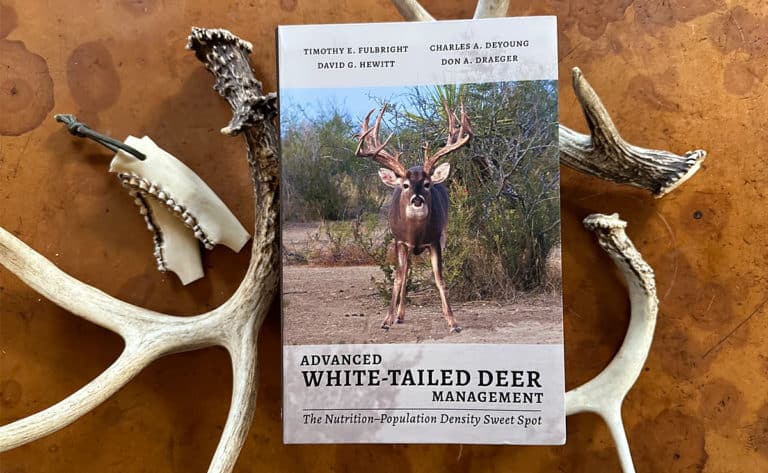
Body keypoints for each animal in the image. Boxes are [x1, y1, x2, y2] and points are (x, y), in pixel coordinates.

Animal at [356, 100, 472, 333]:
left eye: (427, 184)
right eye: (405, 185)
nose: (417, 200)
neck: (416, 234)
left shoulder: (435, 240)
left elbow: (439, 279)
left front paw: (453, 322)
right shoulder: (399, 241)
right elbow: (398, 278)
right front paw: (386, 320)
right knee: (405, 271)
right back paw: (399, 315)